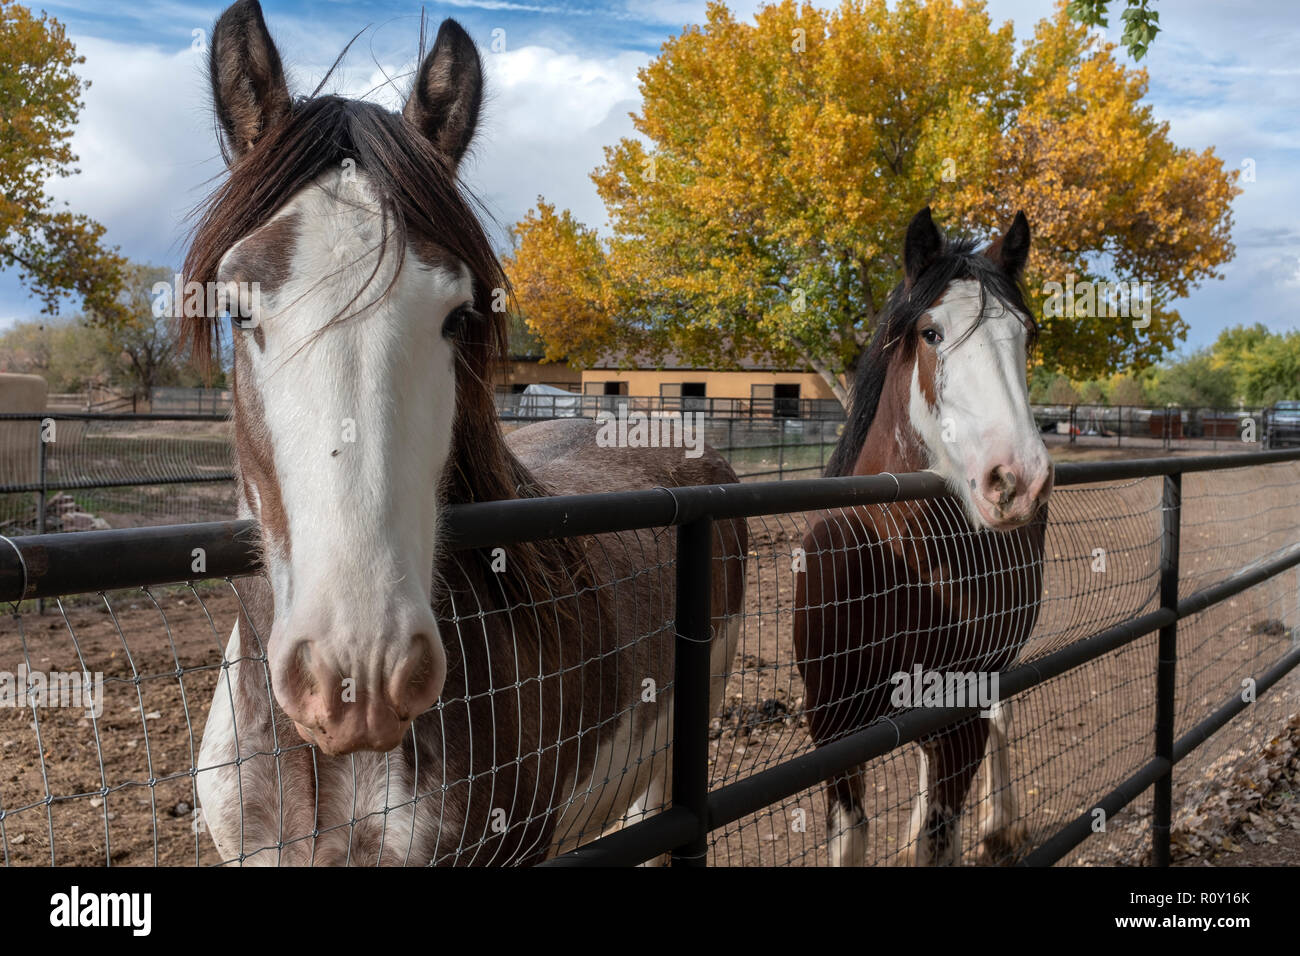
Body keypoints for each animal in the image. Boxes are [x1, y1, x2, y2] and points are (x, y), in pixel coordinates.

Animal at [793, 207, 1052, 866]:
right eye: (931, 333)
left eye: (1028, 335)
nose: (1019, 479)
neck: (900, 564)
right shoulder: (832, 729)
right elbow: (852, 835)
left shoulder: (962, 718)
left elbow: (942, 832)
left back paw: (1000, 826)